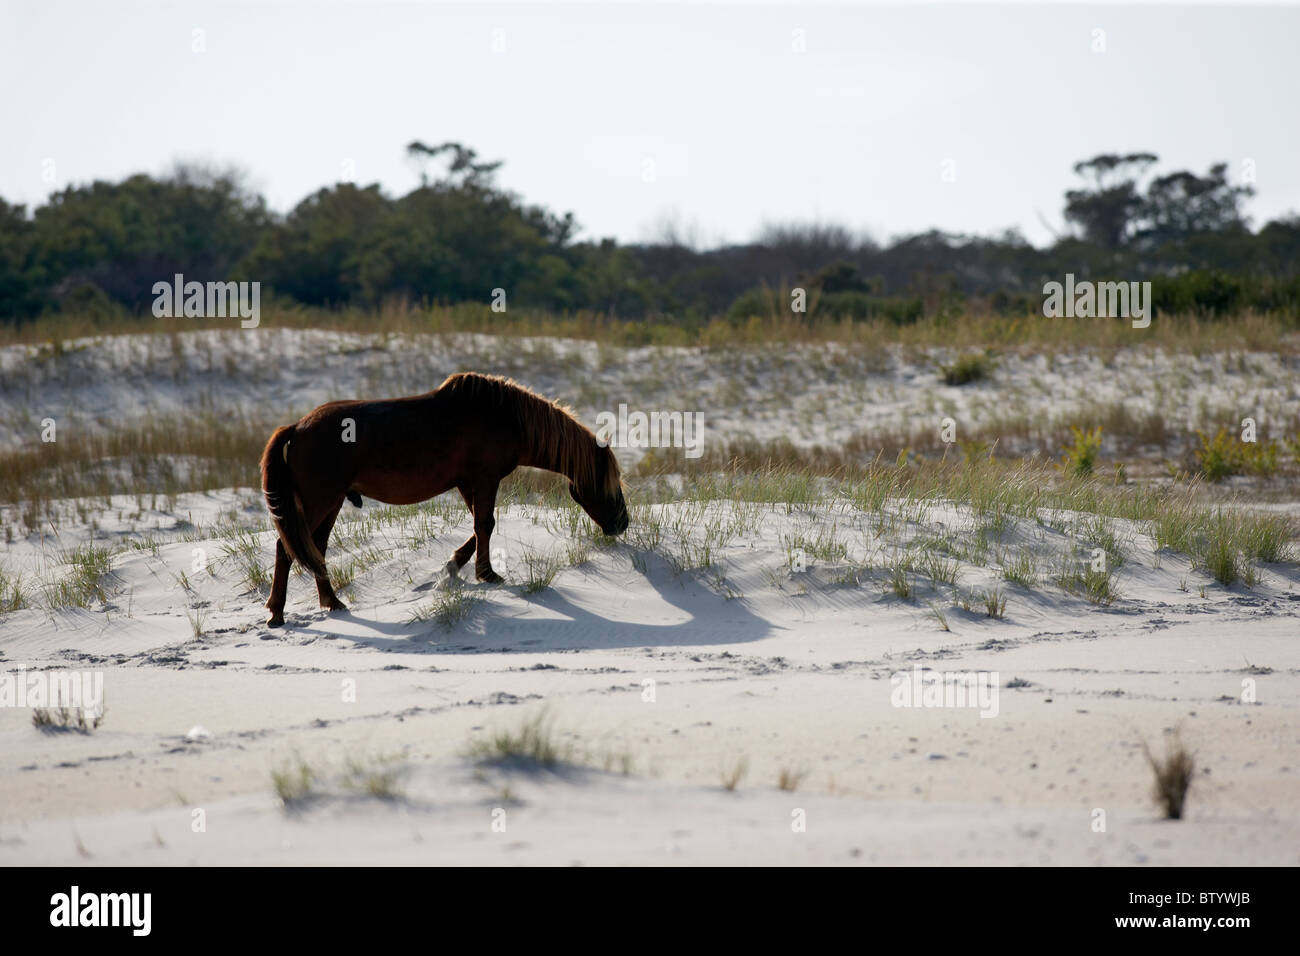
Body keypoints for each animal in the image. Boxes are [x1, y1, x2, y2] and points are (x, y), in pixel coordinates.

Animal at [258, 371, 628, 627]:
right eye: (608, 482)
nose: (622, 523)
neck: (506, 417)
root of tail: (298, 427)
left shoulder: (468, 483)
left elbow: (479, 527)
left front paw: (453, 565)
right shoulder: (485, 479)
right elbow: (485, 524)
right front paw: (487, 574)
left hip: (331, 502)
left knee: (315, 548)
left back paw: (331, 602)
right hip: (319, 501)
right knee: (287, 548)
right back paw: (277, 613)